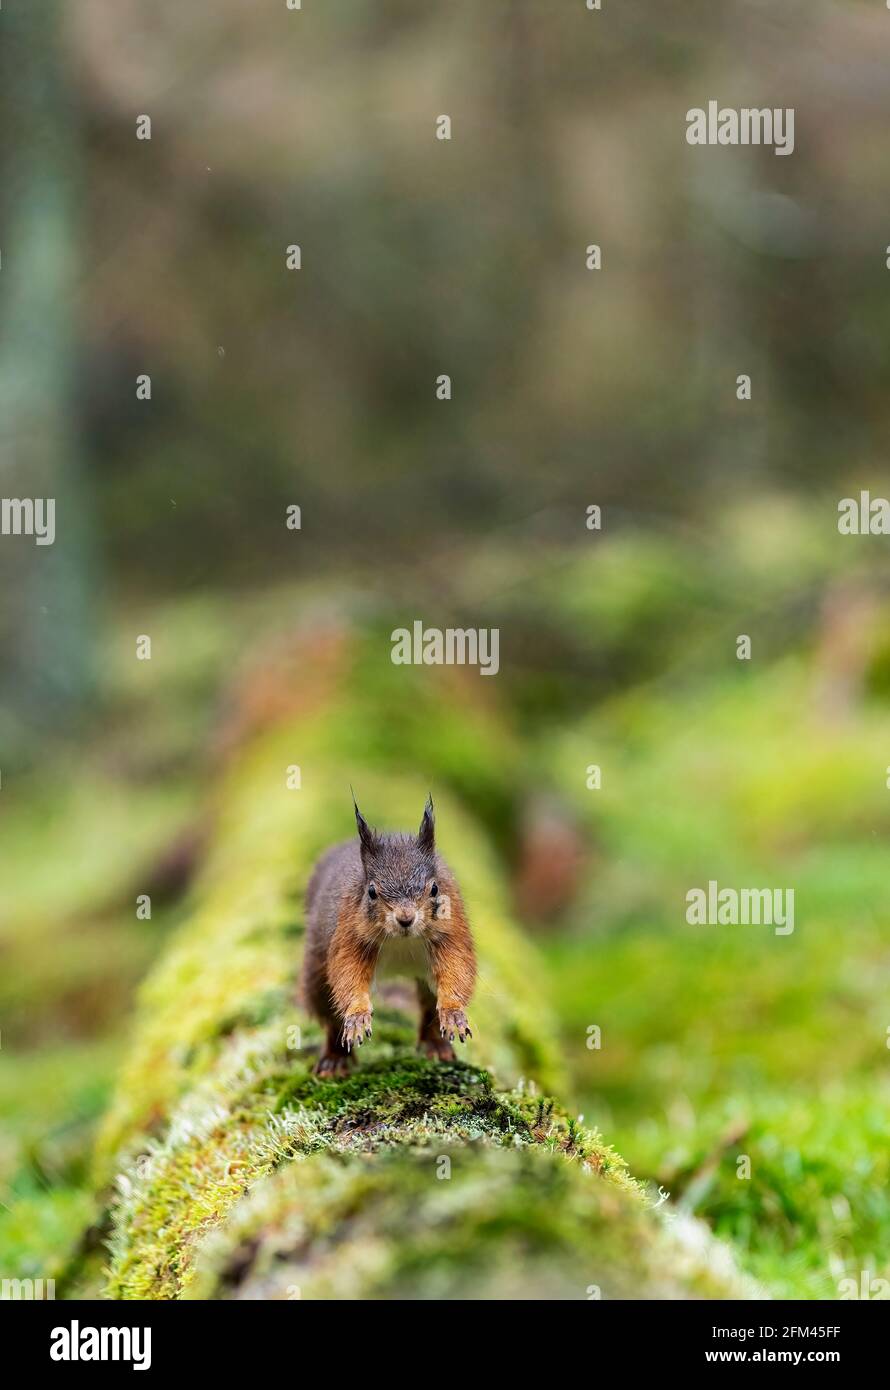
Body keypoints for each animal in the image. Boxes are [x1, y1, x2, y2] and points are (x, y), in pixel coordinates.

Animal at [301, 796, 477, 1076]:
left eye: (434, 888)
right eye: (372, 891)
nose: (405, 919)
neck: (401, 942)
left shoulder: (451, 932)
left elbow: (457, 968)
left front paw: (453, 1013)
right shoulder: (350, 935)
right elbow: (347, 974)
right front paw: (358, 1016)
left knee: (429, 1006)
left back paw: (436, 1046)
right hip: (316, 975)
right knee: (330, 1018)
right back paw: (334, 1059)